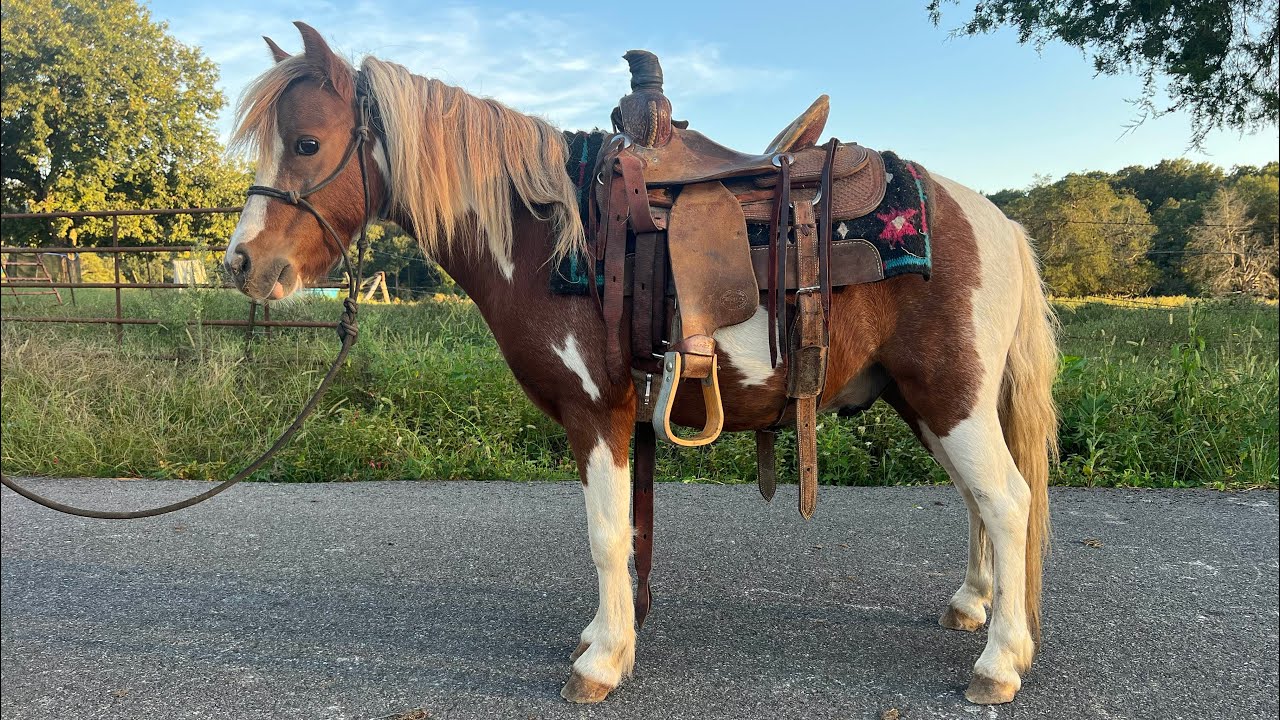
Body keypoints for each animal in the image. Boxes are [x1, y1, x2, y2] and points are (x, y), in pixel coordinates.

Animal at [223, 22, 1059, 706]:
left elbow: (604, 534)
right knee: (979, 501)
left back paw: (1001, 662)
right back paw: (973, 605)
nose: (243, 264)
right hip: (926, 402)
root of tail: (993, 219)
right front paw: (607, 638)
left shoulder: (599, 410)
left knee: (1007, 500)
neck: (551, 236)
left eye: (307, 143)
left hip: (951, 399)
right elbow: (621, 533)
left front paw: (602, 661)